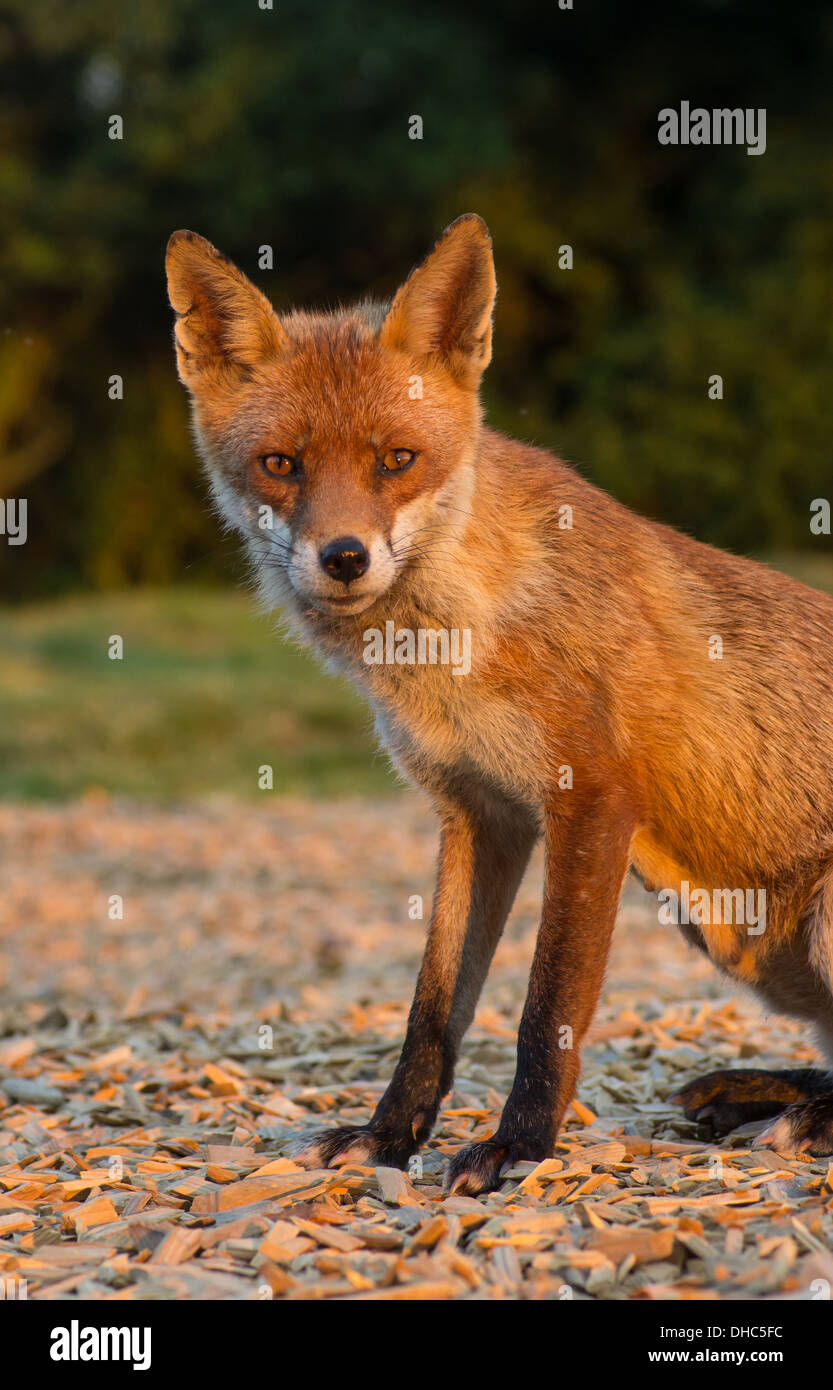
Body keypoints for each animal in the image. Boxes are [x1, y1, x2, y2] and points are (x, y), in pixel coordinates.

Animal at [166, 215, 833, 1194]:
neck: (450, 647)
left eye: (396, 461)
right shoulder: (478, 813)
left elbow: (544, 1007)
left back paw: (804, 1113)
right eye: (280, 465)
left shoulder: (591, 797)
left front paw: (519, 1145)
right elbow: (432, 1011)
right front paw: (388, 1136)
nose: (343, 557)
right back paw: (764, 1092)